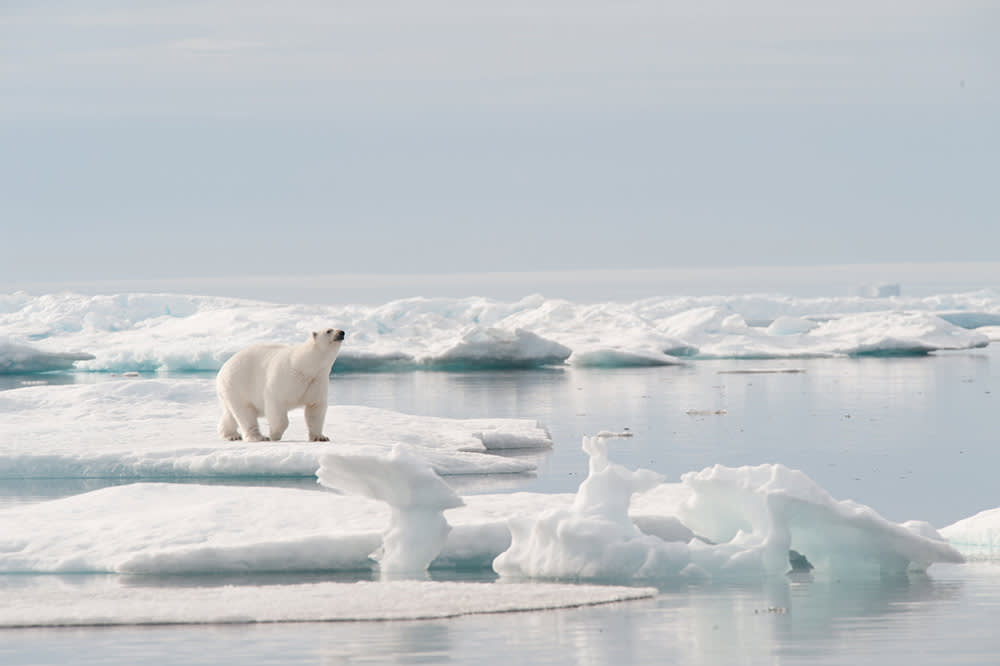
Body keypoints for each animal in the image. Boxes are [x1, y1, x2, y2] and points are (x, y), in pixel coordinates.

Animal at [217, 328, 345, 442]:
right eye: (329, 330)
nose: (342, 332)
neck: (304, 366)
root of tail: (222, 370)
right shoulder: (285, 378)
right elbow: (276, 404)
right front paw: (274, 434)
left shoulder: (317, 381)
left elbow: (315, 409)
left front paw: (320, 437)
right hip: (237, 384)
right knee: (245, 413)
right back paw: (259, 437)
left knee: (230, 414)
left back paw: (231, 435)